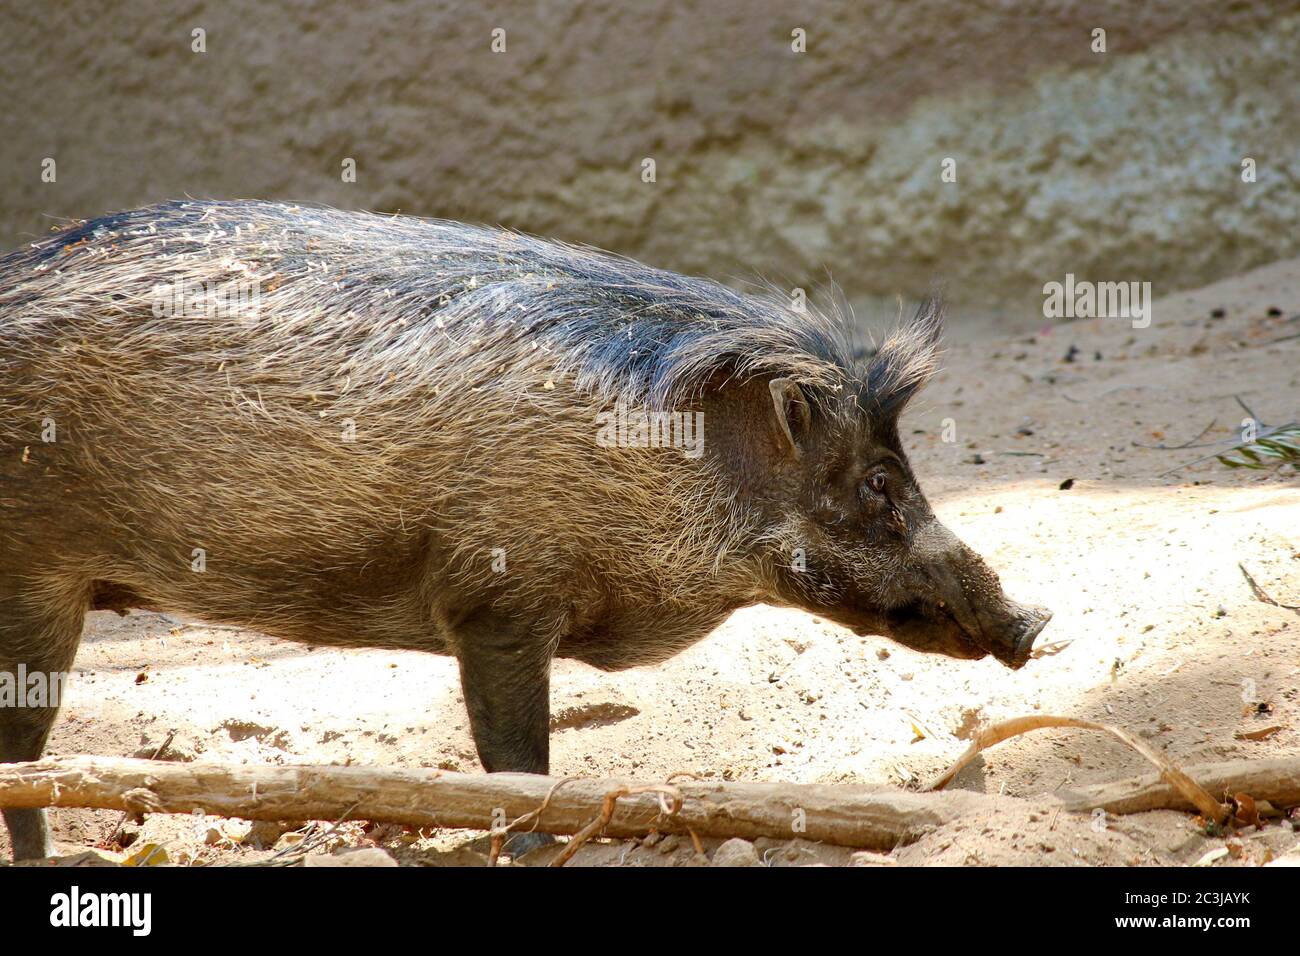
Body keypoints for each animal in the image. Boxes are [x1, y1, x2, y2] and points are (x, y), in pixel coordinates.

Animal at [0, 200, 1050, 859]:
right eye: (879, 481)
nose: (1036, 624)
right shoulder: (495, 602)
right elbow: (517, 756)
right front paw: (541, 843)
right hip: (34, 580)